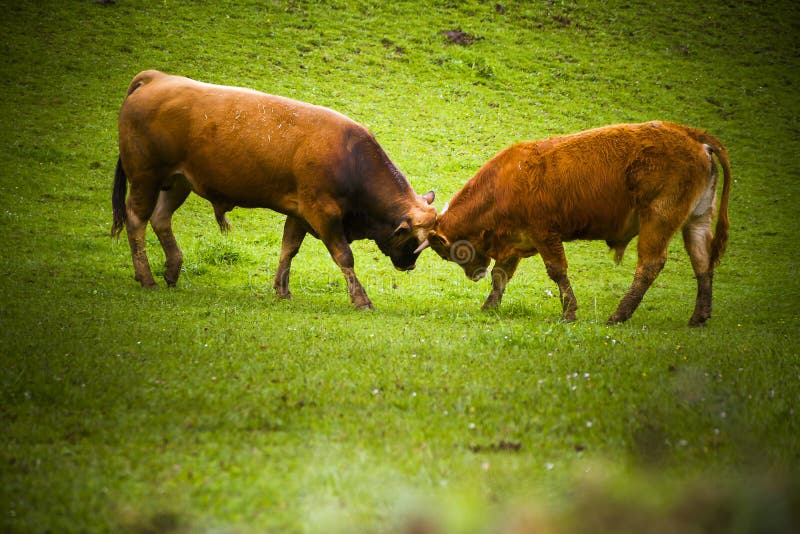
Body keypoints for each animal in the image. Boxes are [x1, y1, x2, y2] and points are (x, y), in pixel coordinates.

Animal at [112, 70, 436, 310]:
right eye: (414, 241)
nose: (408, 265)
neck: (351, 159)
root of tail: (156, 78)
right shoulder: (323, 213)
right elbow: (344, 256)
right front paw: (361, 299)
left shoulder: (301, 212)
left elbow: (288, 249)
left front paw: (282, 290)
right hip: (145, 178)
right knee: (137, 221)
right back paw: (147, 277)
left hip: (178, 182)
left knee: (160, 218)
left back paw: (172, 268)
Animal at [416, 121, 731, 326]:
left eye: (448, 254)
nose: (474, 274)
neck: (505, 182)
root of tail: (690, 135)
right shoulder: (515, 241)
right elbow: (500, 276)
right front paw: (489, 307)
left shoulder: (545, 234)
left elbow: (557, 272)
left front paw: (569, 312)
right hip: (696, 220)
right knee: (702, 262)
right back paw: (699, 317)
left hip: (658, 220)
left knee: (650, 265)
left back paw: (618, 315)